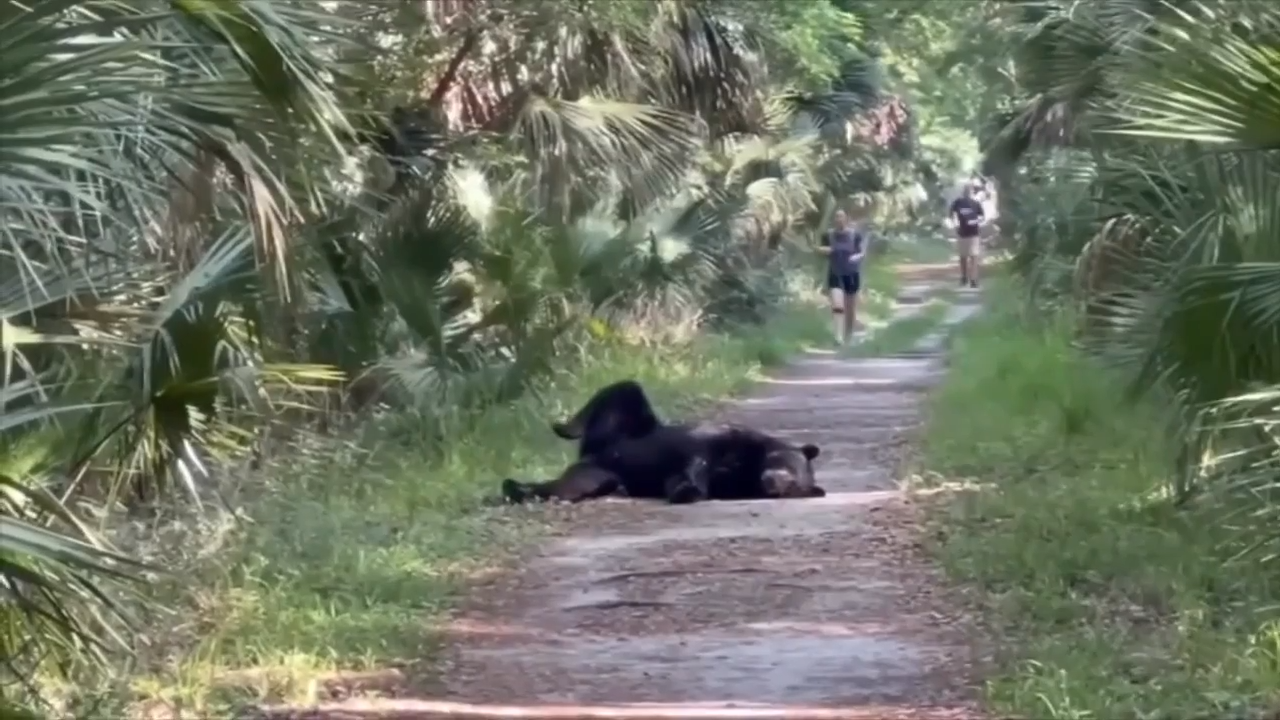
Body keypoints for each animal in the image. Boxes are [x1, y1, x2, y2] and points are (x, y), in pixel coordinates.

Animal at [500, 379, 826, 504]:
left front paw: (685, 490)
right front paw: (690, 481)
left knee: (568, 486)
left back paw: (517, 488)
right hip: (620, 427)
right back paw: (560, 427)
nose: (776, 484)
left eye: (796, 488)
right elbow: (697, 453)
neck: (750, 464)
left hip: (597, 474)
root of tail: (592, 457)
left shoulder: (735, 484)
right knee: (622, 392)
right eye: (791, 464)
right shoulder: (719, 438)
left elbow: (693, 483)